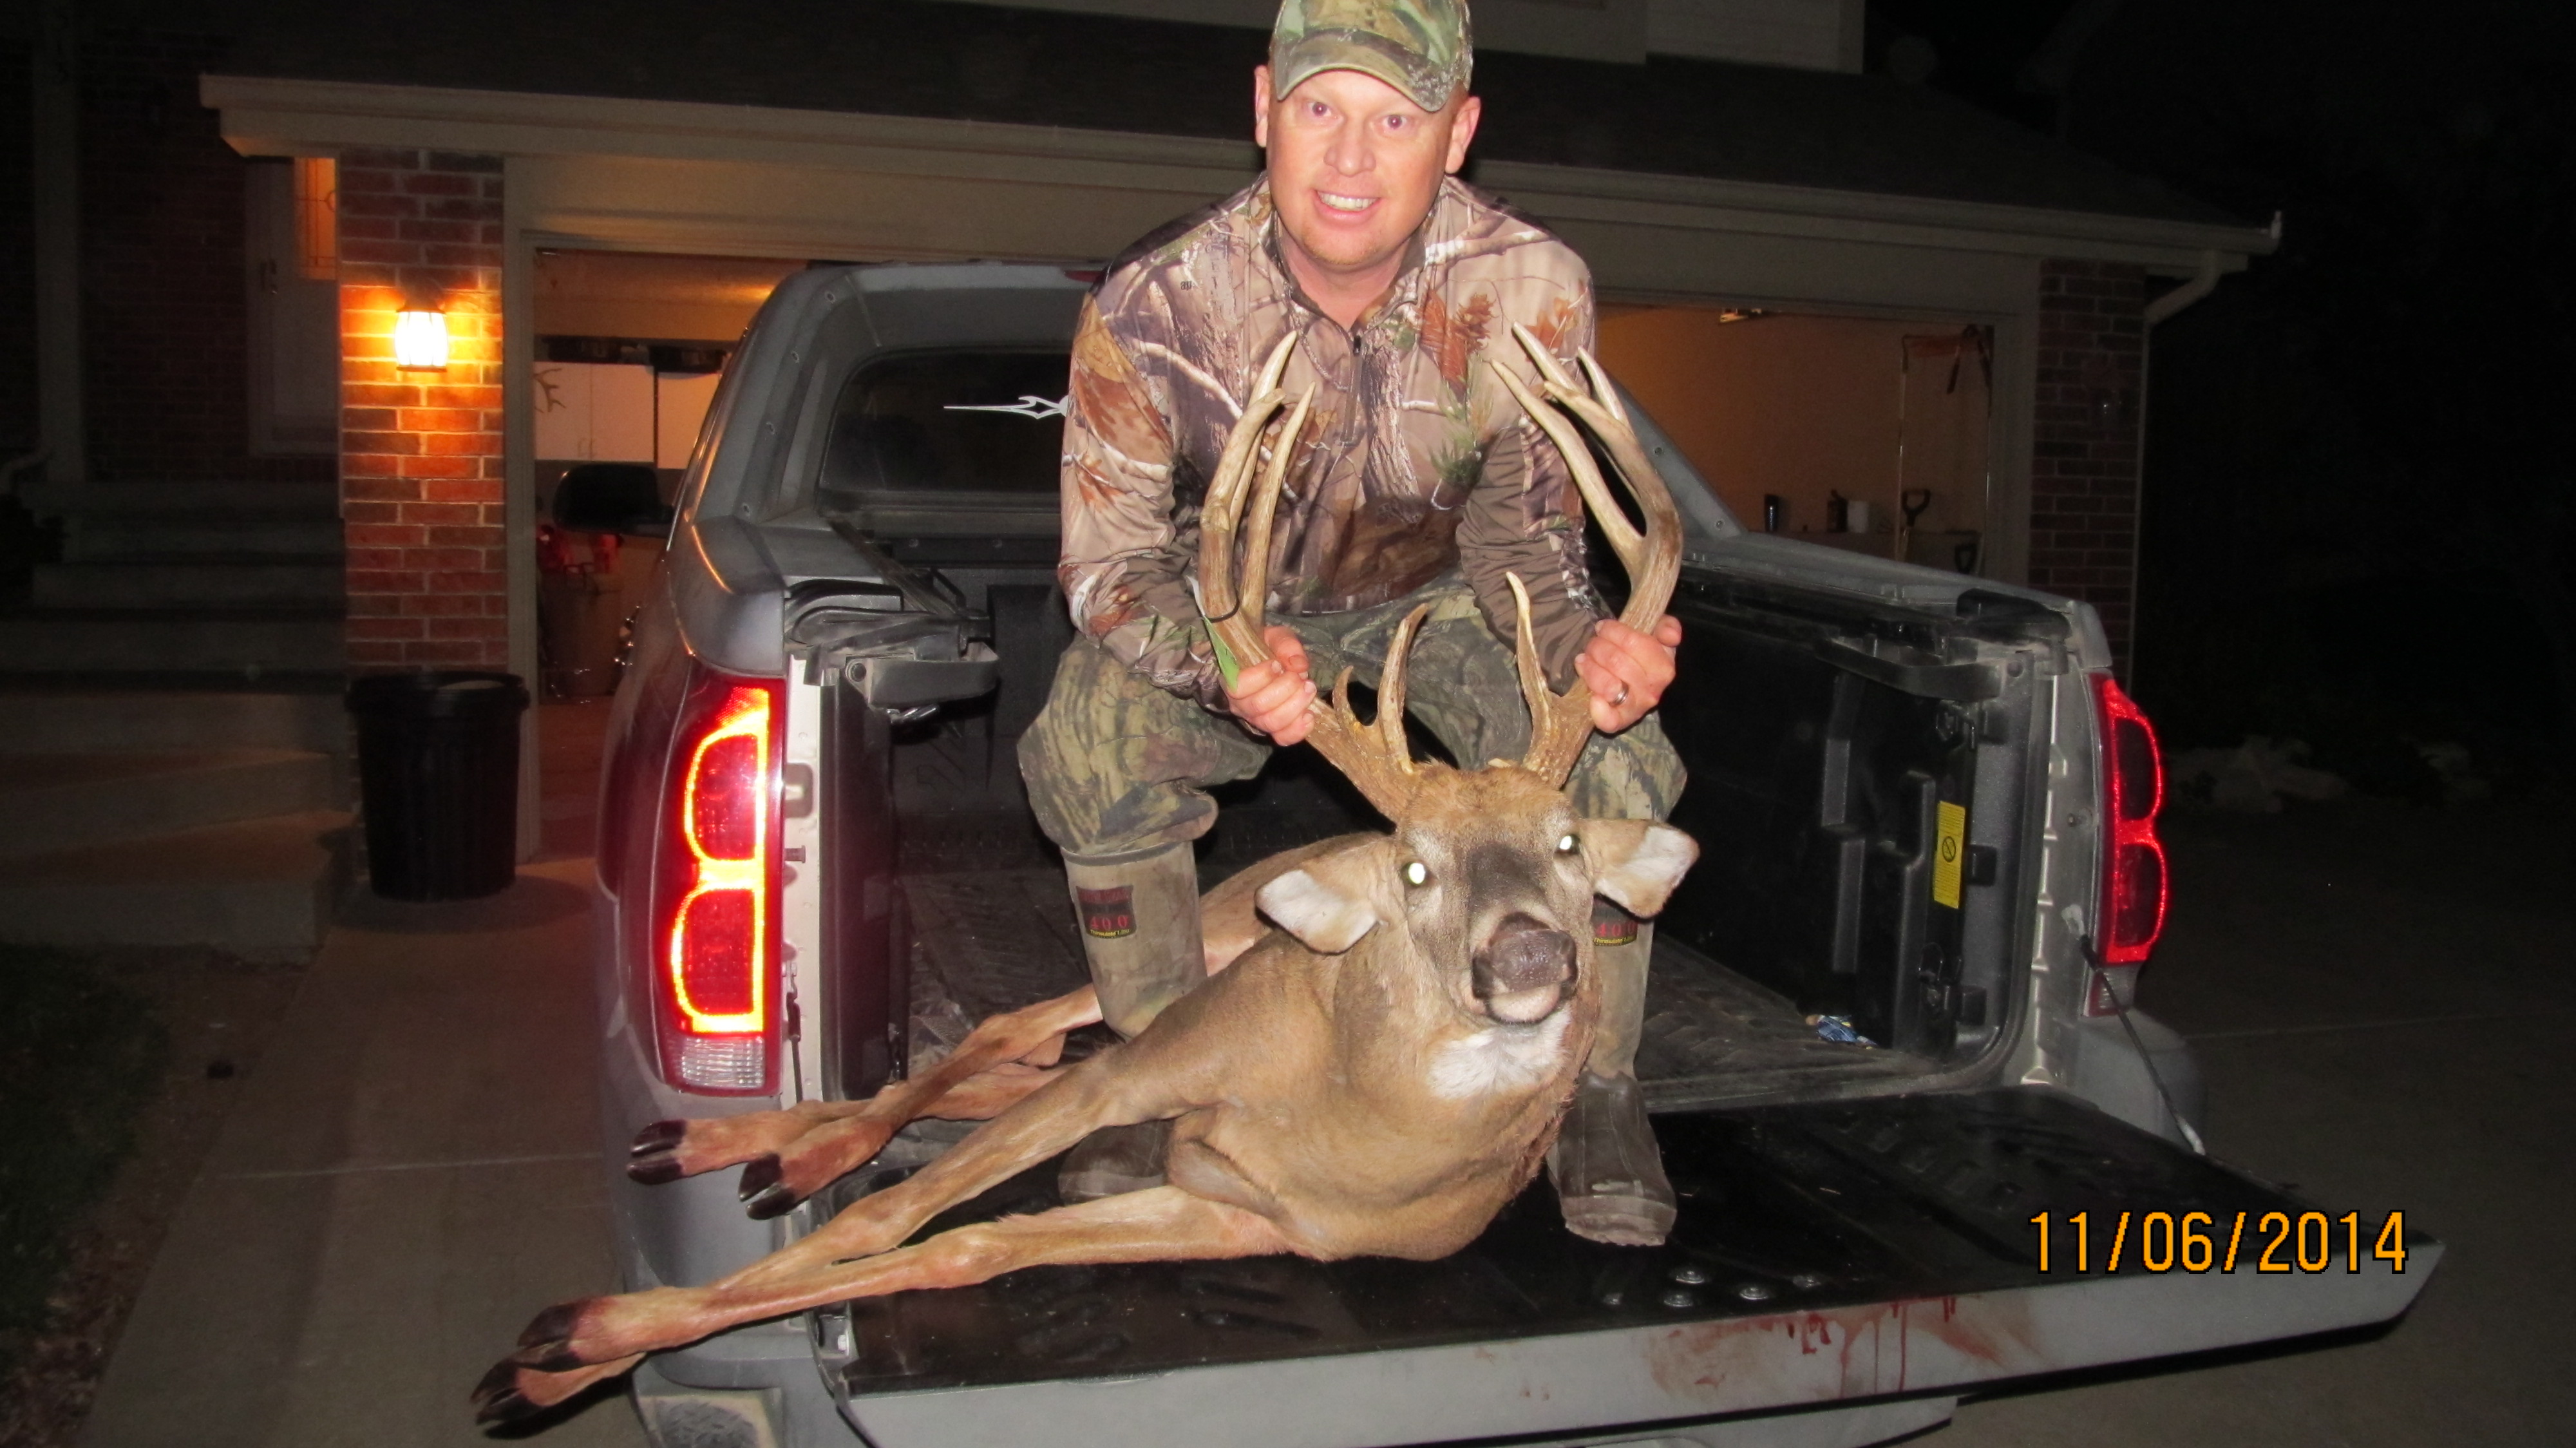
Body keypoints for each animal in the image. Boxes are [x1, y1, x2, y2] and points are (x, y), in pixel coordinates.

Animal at [473, 325, 1698, 1426]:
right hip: (1208, 940)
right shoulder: (1151, 1070)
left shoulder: (1245, 1218)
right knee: (1008, 1031)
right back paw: (741, 1148)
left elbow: (966, 1246)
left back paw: (762, 1150)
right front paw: (564, 1344)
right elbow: (888, 1217)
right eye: (1414, 867)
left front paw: (564, 1347)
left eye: (1568, 844)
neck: (1341, 1116)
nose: (1529, 950)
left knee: (1015, 1058)